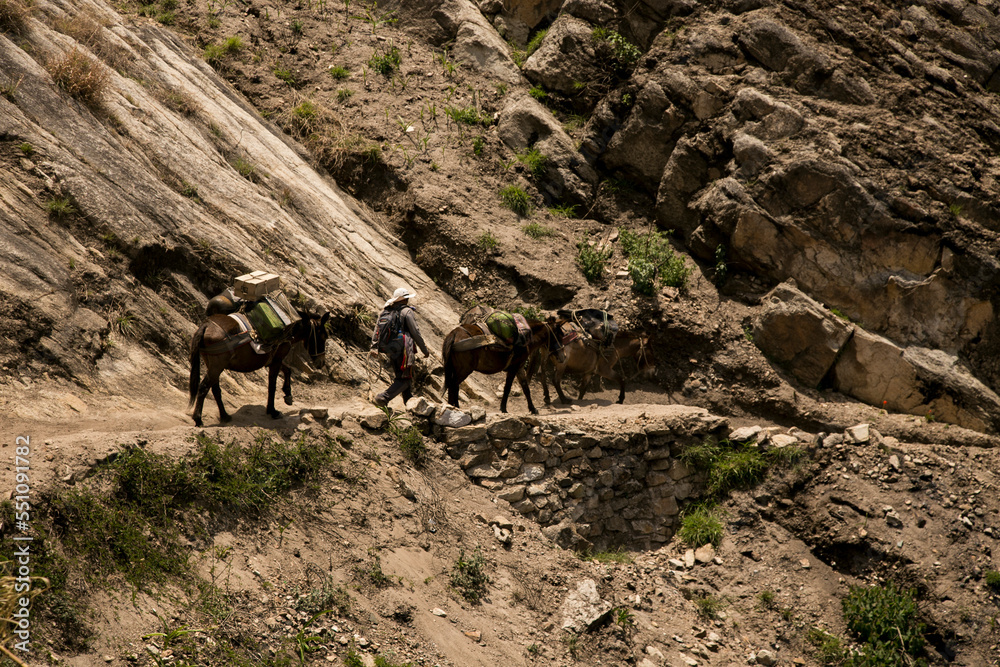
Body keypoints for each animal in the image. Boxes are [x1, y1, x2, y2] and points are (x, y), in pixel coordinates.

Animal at [188, 311, 330, 427]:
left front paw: (288, 394)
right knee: (204, 387)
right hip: (217, 366)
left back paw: (224, 416)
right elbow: (272, 385)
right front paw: (272, 411)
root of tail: (206, 325)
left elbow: (287, 370)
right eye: (323, 337)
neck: (288, 332)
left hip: (212, 365)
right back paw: (198, 419)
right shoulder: (277, 360)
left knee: (215, 389)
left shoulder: (274, 360)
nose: (321, 362)